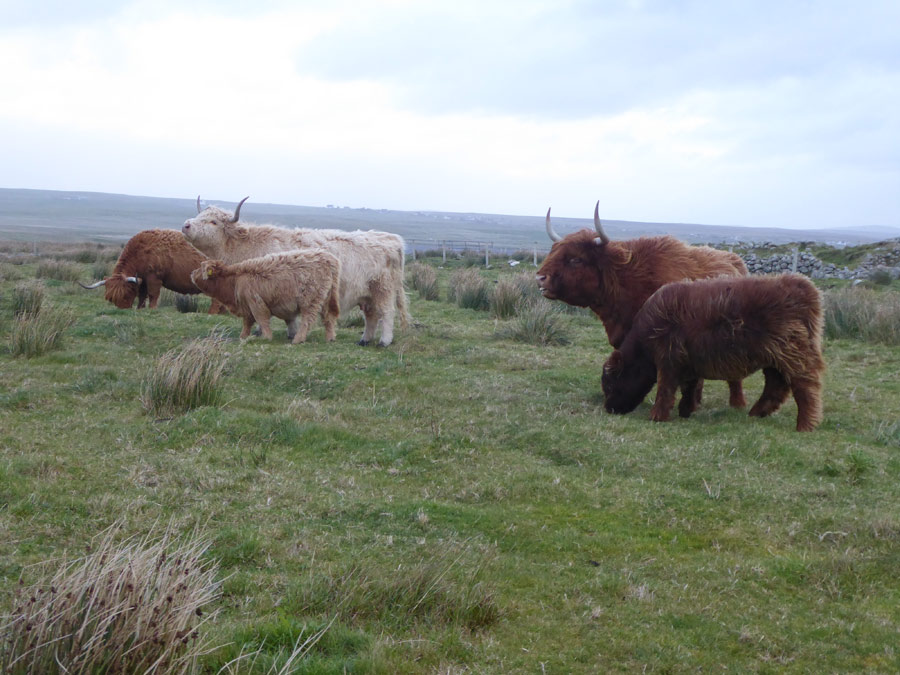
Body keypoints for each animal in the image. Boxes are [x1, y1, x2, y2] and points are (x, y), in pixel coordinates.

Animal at [78, 229, 226, 314]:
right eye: (111, 299)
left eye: (126, 295)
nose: (123, 311)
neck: (140, 252)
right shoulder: (142, 279)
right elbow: (142, 295)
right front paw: (140, 308)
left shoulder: (154, 277)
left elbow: (153, 294)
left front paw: (152, 309)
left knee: (216, 300)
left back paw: (211, 313)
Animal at [190, 249, 341, 344]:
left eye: (202, 267)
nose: (192, 272)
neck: (233, 281)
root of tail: (329, 259)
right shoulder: (247, 306)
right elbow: (247, 322)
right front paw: (243, 336)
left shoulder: (255, 303)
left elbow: (262, 320)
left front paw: (266, 336)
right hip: (327, 298)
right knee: (329, 317)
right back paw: (330, 337)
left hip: (310, 301)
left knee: (308, 319)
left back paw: (298, 339)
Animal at [536, 202, 749, 408]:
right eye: (553, 252)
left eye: (576, 259)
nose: (540, 278)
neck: (628, 283)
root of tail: (736, 261)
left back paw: (736, 403)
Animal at [601, 274, 825, 431]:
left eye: (610, 384)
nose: (609, 409)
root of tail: (801, 285)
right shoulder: (687, 362)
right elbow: (688, 388)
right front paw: (686, 410)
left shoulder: (668, 359)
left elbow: (665, 389)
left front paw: (657, 416)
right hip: (773, 358)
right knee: (776, 385)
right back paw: (757, 413)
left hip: (790, 352)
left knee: (805, 385)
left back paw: (805, 425)